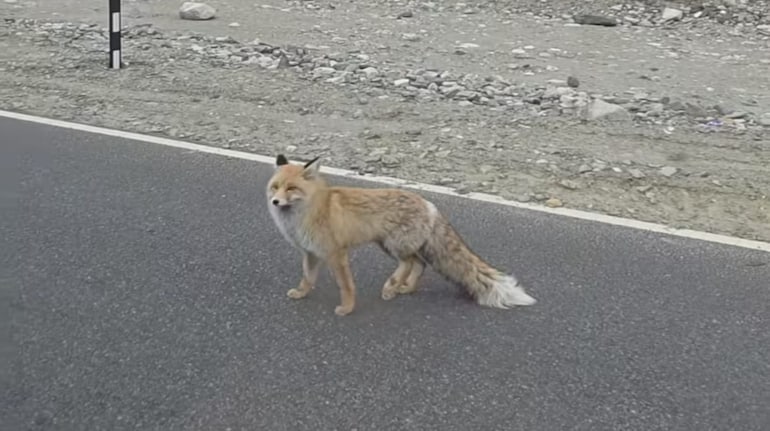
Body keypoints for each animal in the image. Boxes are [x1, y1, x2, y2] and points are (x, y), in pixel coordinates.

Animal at [266, 154, 537, 316]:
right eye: (275, 187)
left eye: (292, 188)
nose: (275, 201)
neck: (309, 212)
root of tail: (429, 204)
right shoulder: (310, 253)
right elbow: (307, 278)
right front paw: (301, 293)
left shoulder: (336, 253)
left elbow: (346, 285)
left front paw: (347, 308)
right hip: (391, 245)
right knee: (418, 264)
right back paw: (403, 288)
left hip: (392, 244)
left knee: (408, 264)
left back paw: (391, 286)